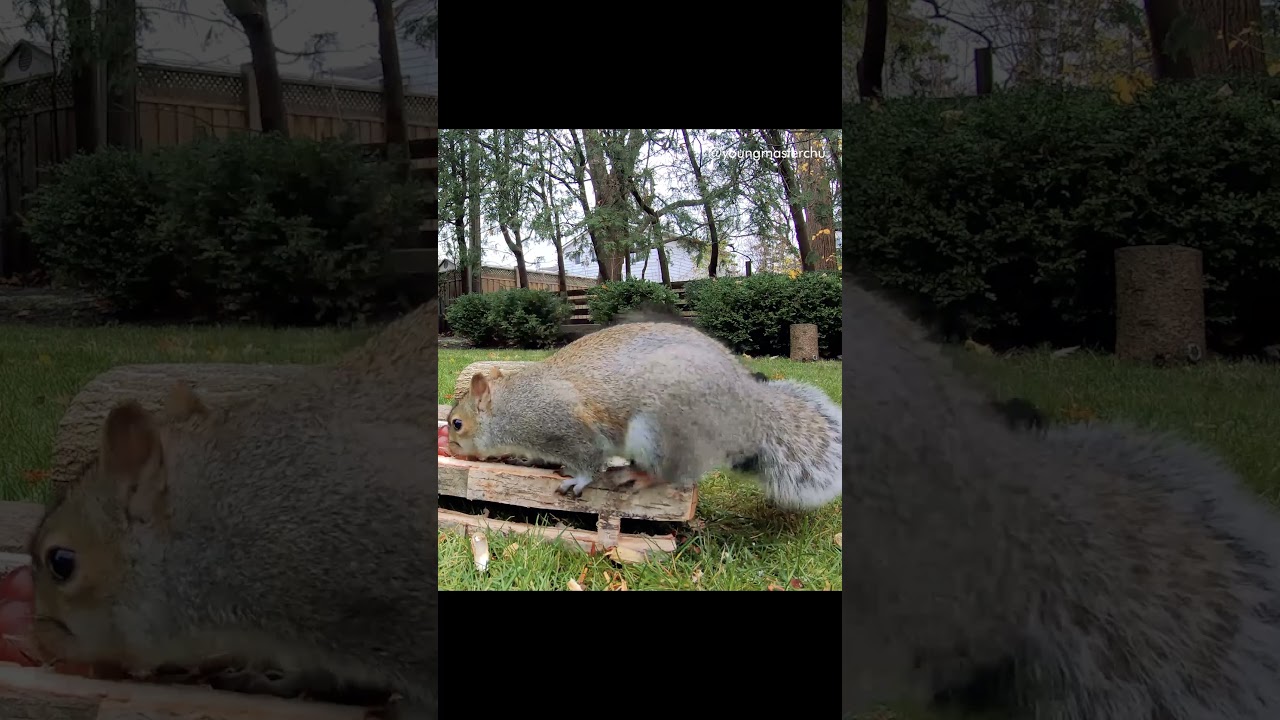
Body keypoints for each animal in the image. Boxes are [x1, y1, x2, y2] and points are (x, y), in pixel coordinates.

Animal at [446, 319, 842, 510]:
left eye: (457, 424)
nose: (450, 449)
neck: (511, 407)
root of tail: (747, 410)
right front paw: (527, 461)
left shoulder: (564, 426)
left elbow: (588, 458)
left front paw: (579, 479)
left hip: (659, 429)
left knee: (669, 473)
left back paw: (637, 476)